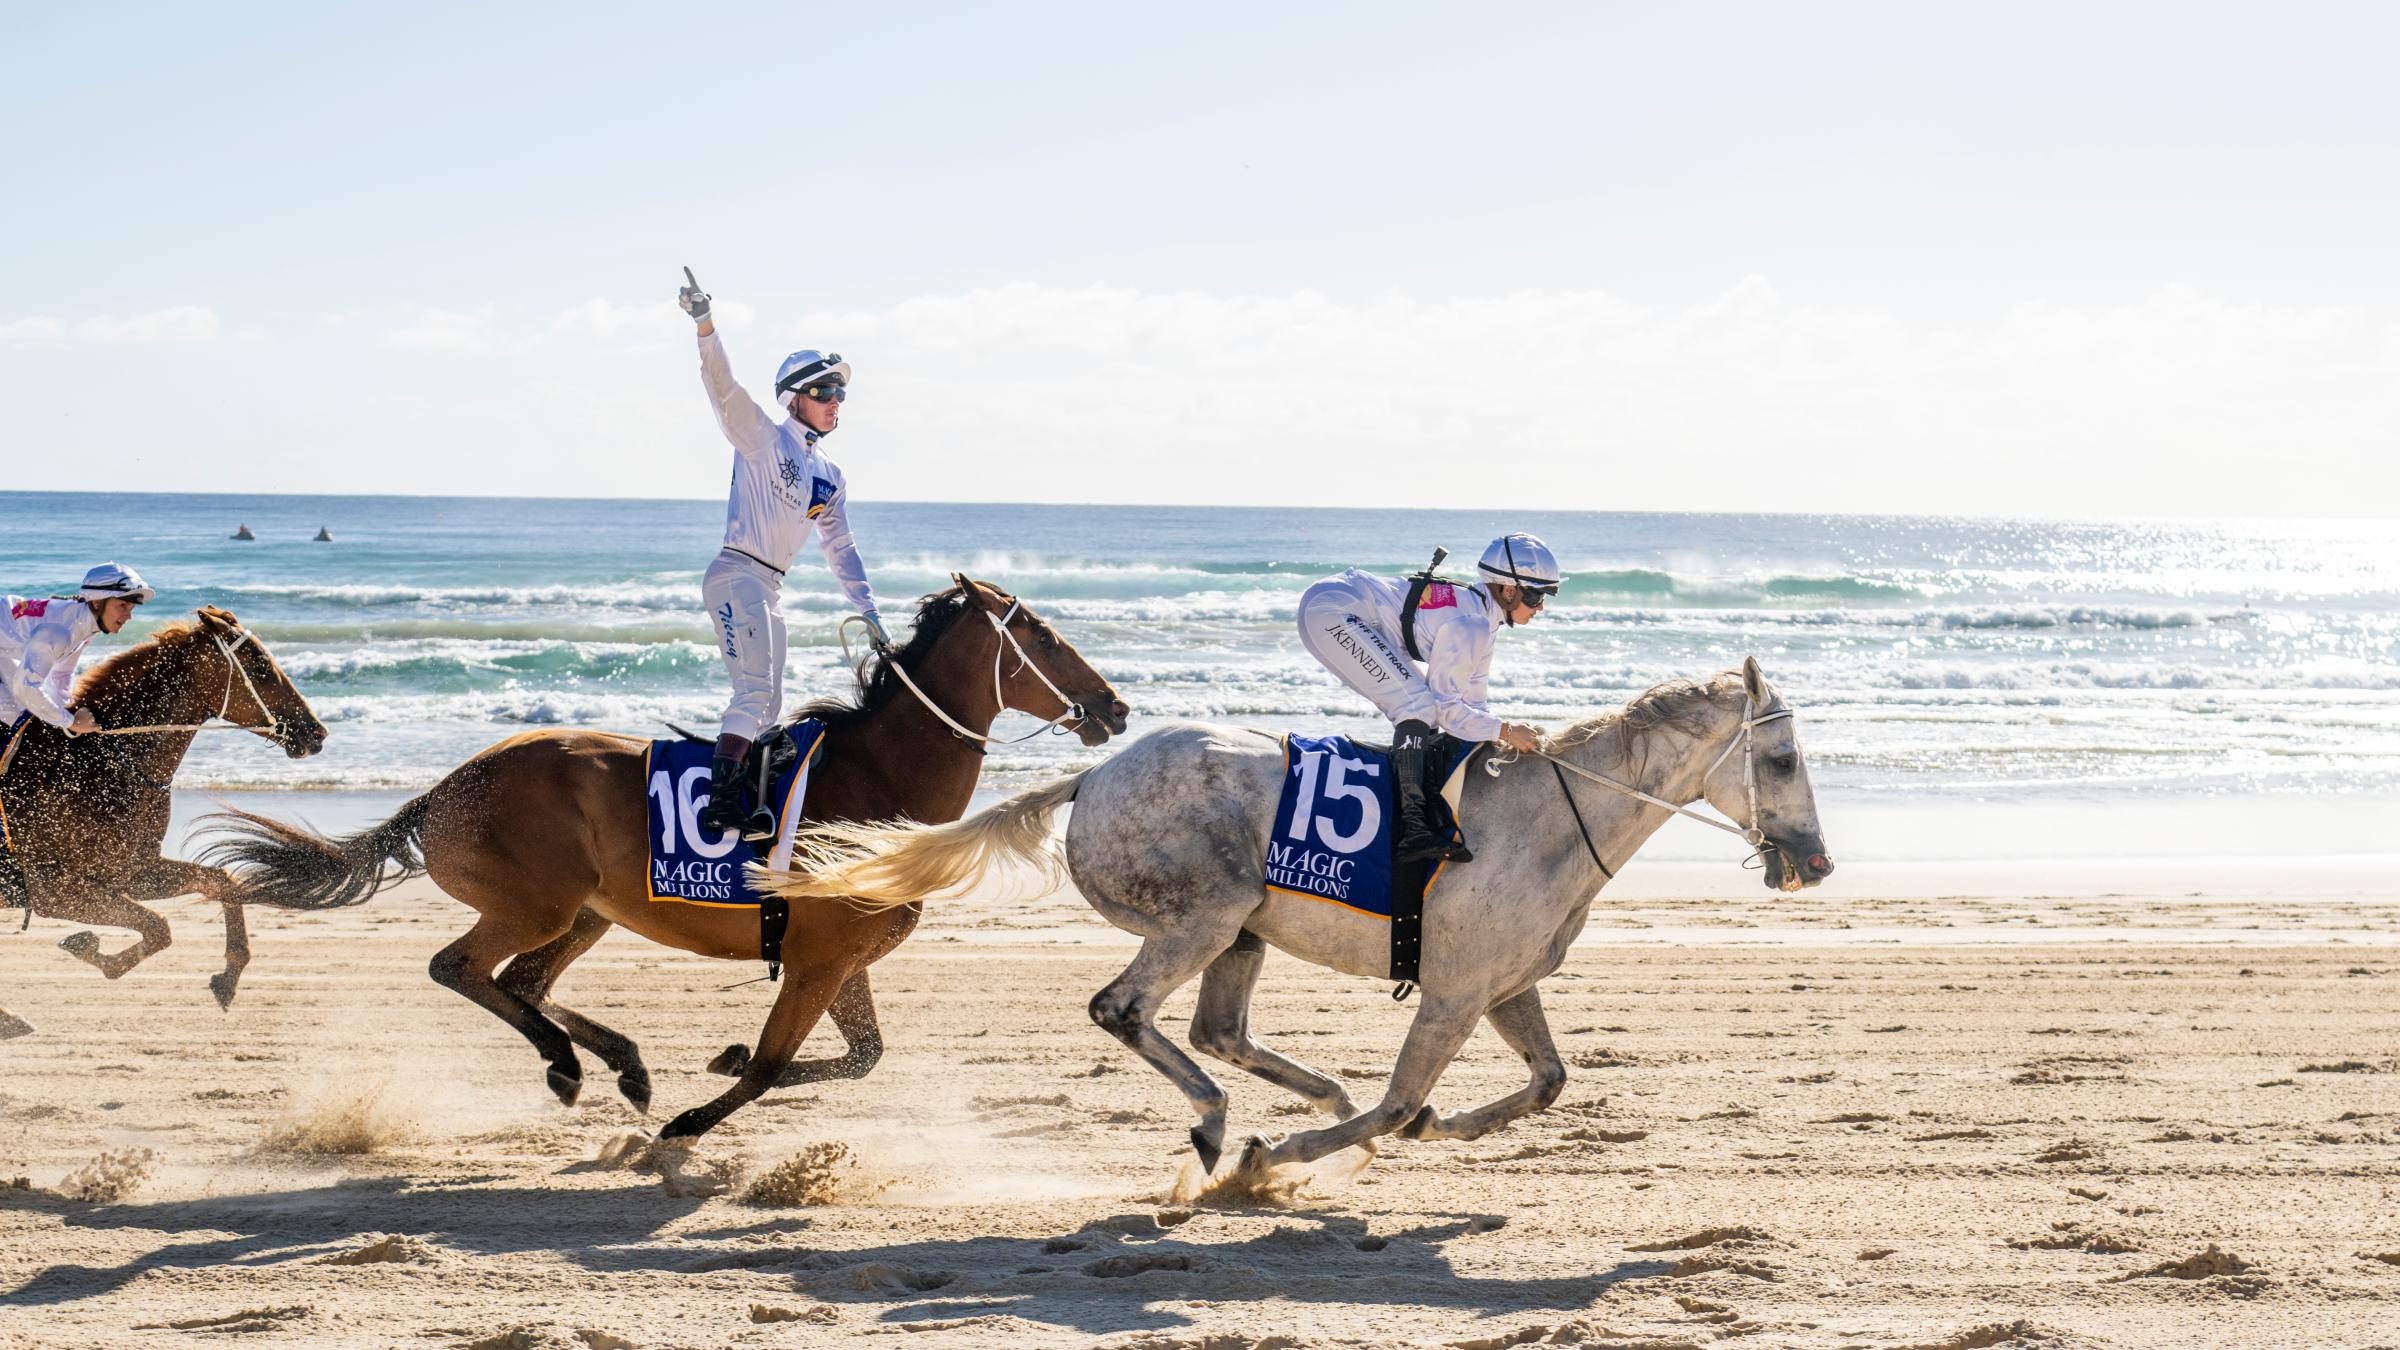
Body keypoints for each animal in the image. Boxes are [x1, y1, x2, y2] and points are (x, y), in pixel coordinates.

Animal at [0, 606, 327, 1017]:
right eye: (263, 666)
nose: (317, 733)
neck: (102, 765)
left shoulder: (131, 872)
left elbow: (219, 881)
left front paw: (229, 976)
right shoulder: (54, 890)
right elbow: (158, 926)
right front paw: (88, 947)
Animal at [203, 577, 1128, 1143]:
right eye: (1047, 636)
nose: (1114, 706)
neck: (877, 785)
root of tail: (445, 787)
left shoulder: (845, 960)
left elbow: (860, 1058)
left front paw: (710, 1068)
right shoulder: (817, 959)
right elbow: (772, 1065)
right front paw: (692, 1118)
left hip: (588, 913)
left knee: (523, 983)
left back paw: (615, 1063)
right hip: (533, 904)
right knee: (462, 969)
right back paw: (571, 1064)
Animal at [756, 657, 1834, 1182]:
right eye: (1781, 760)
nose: (1816, 863)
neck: (1546, 819)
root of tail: (1090, 777)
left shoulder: (1501, 985)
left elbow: (1547, 1082)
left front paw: (1443, 1126)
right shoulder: (1452, 992)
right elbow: (1399, 1102)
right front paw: (1284, 1161)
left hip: (1239, 934)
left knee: (1214, 1029)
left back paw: (1302, 1094)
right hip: (1203, 913)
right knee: (1124, 1010)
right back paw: (1222, 1126)